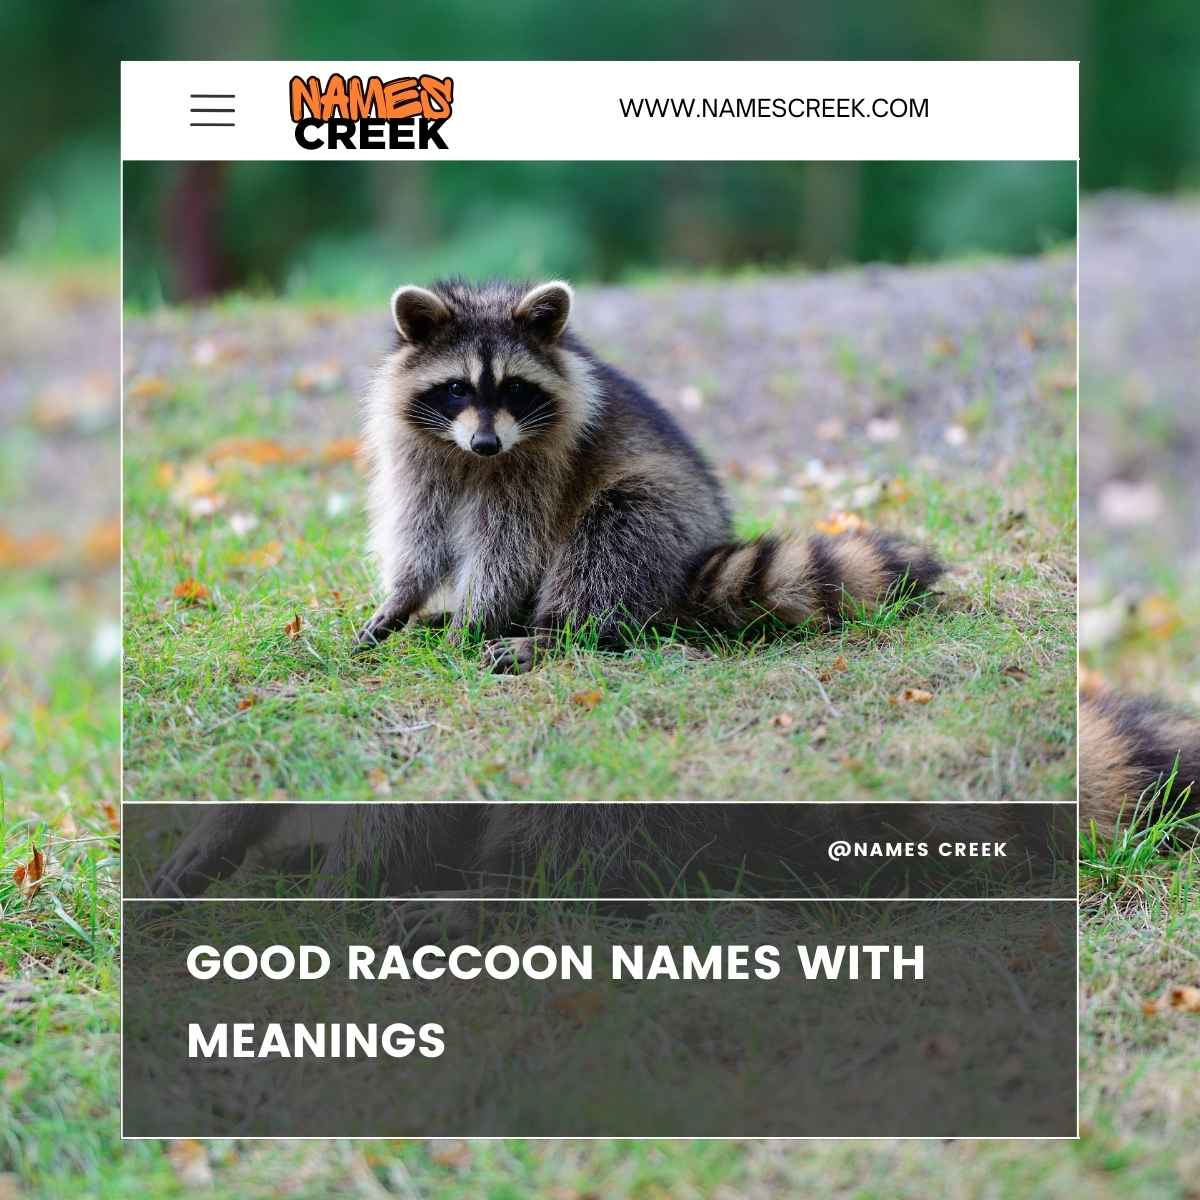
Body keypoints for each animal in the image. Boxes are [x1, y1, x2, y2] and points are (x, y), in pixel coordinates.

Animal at [356, 278, 944, 670]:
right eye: (457, 388)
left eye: (515, 389)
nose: (486, 443)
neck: (471, 459)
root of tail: (695, 561)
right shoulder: (418, 455)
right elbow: (420, 534)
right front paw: (405, 598)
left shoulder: (541, 467)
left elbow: (509, 549)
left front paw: (476, 619)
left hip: (661, 514)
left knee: (609, 544)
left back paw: (555, 633)